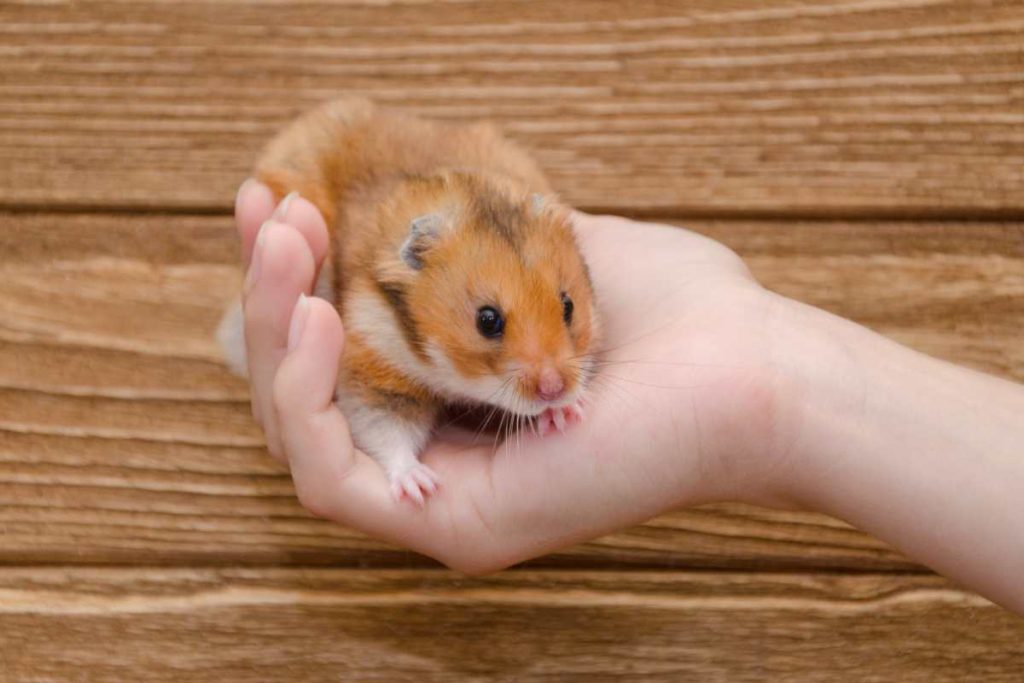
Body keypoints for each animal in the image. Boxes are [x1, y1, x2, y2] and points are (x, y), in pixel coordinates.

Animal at [218, 98, 599, 504]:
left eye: (568, 307)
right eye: (488, 320)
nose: (555, 389)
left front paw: (568, 412)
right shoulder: (374, 366)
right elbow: (386, 429)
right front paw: (420, 487)